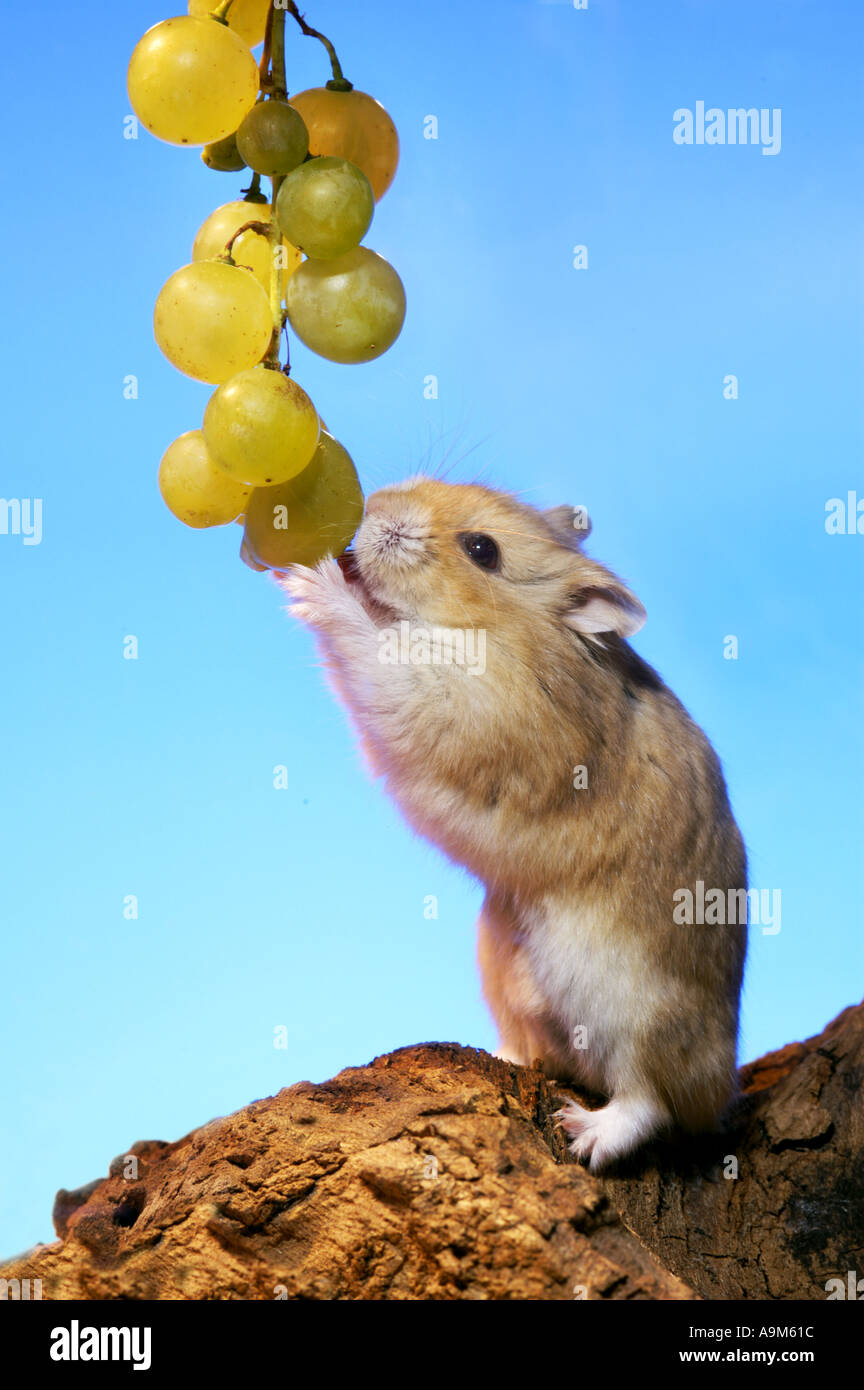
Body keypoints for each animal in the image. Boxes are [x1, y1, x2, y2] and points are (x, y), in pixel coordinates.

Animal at [281, 477, 747, 1172]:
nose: (371, 511)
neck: (496, 626)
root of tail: (719, 1095)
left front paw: (311, 581)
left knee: (649, 1102)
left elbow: (376, 650)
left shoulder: (459, 707)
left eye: (482, 549)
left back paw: (585, 1134)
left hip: (635, 1014)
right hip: (500, 964)